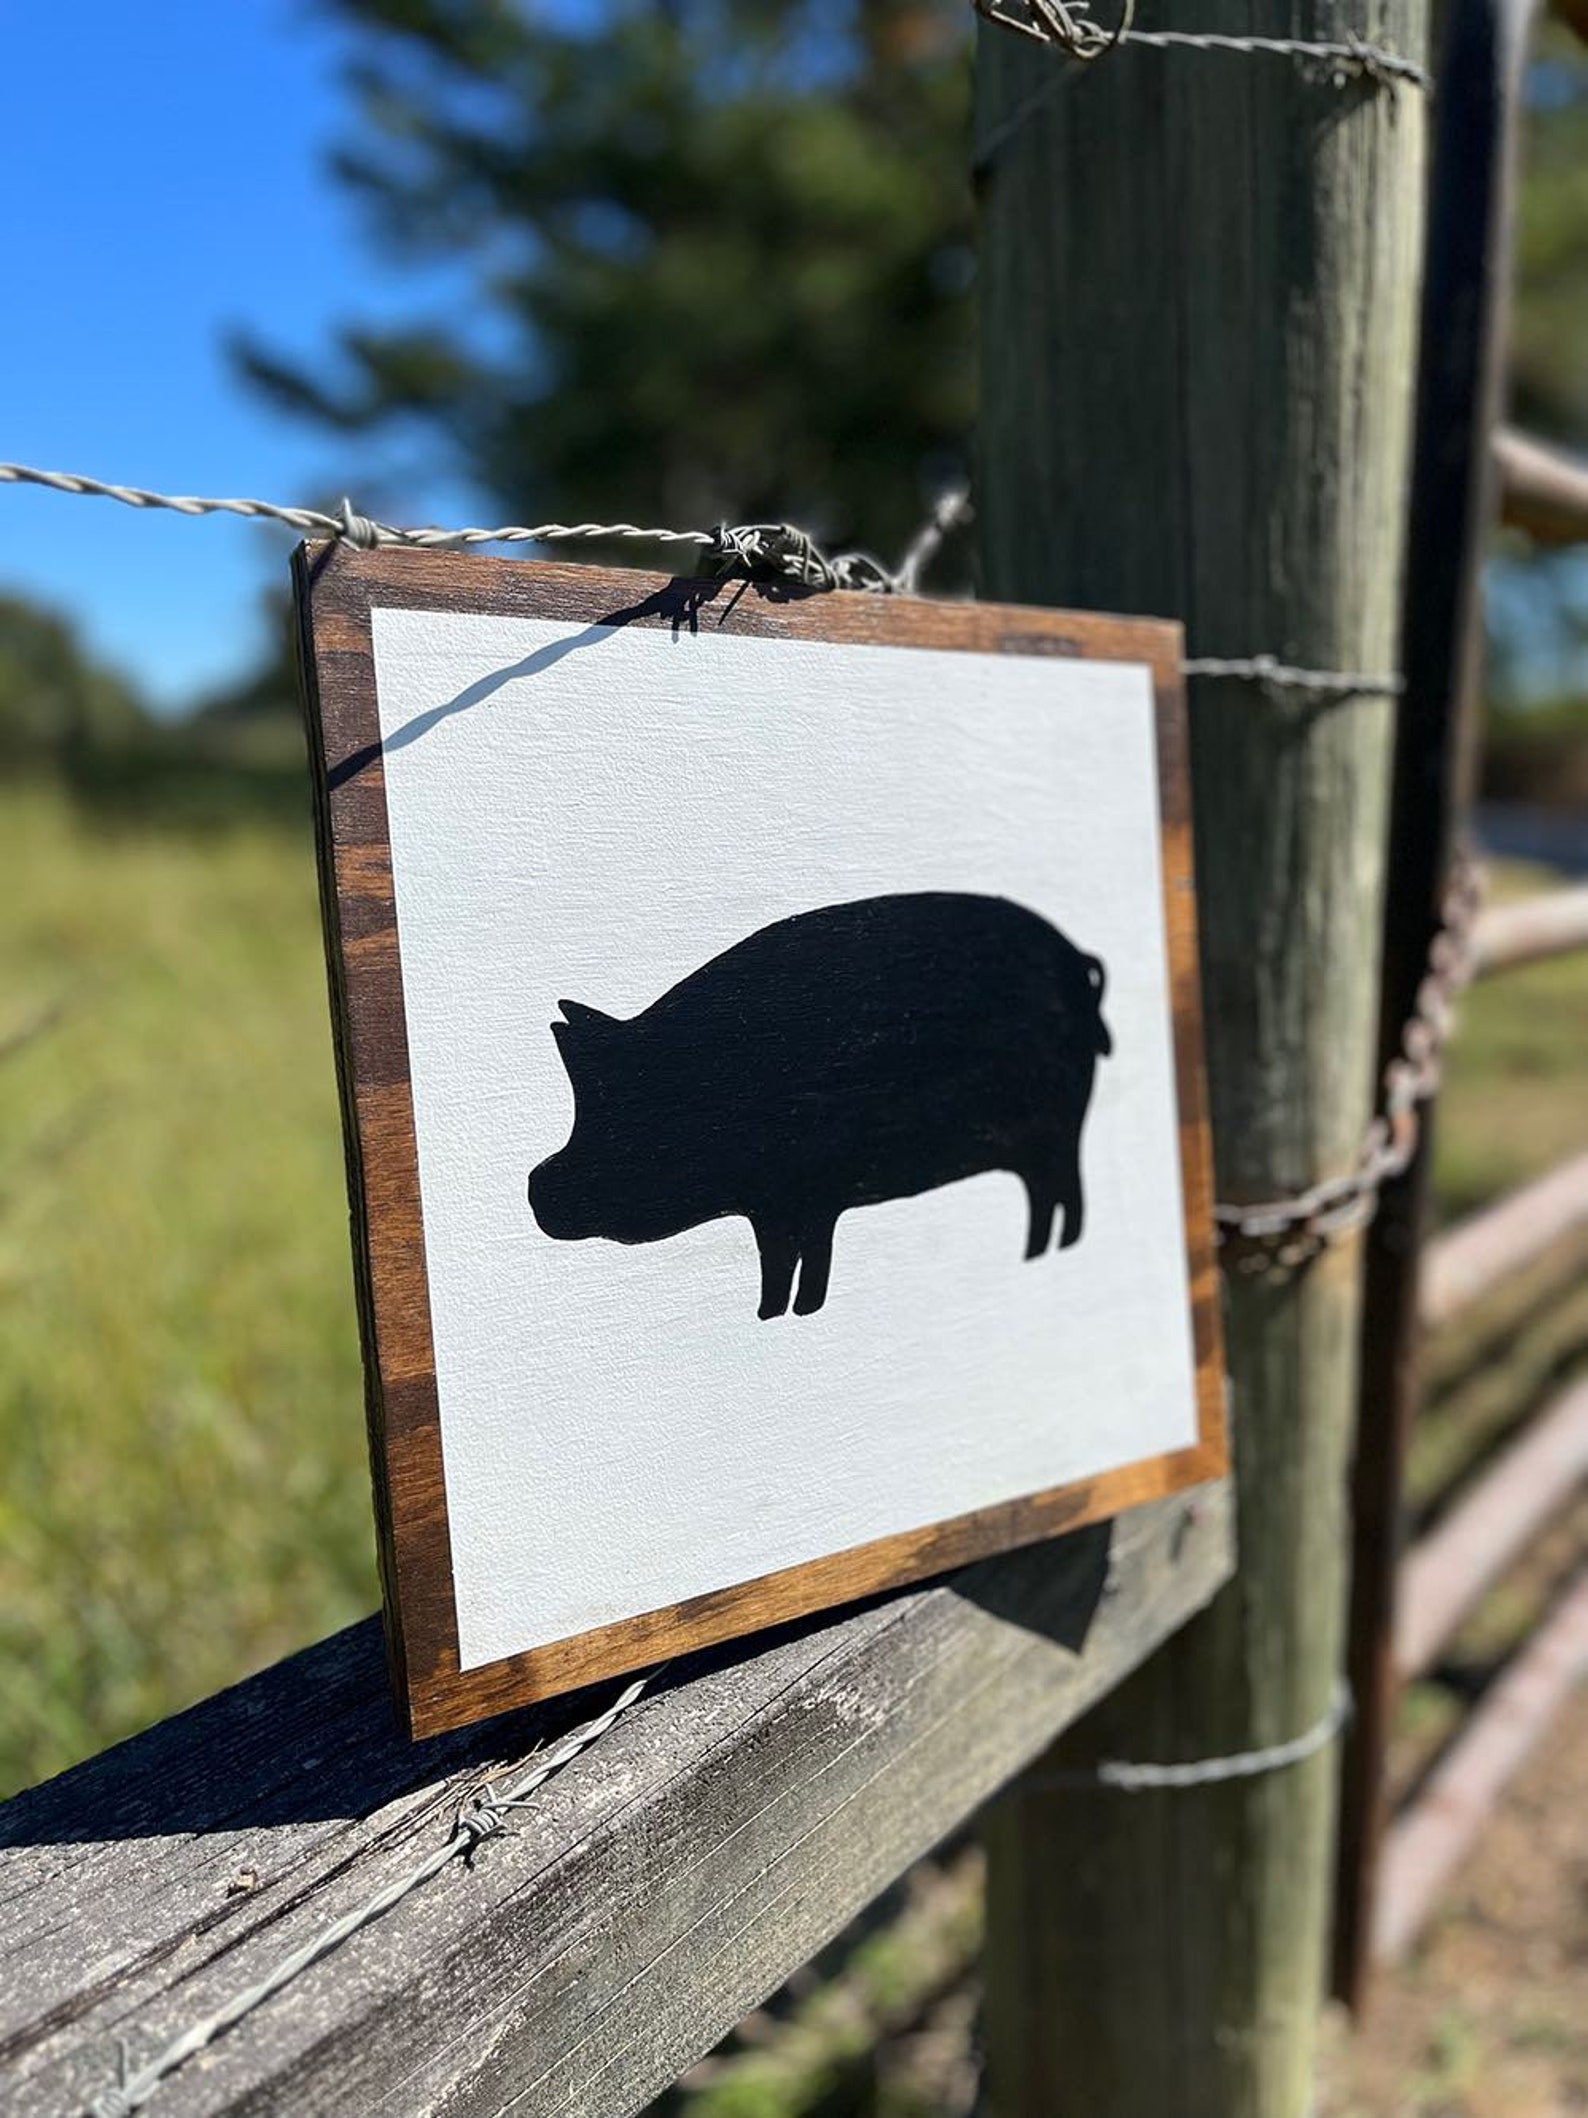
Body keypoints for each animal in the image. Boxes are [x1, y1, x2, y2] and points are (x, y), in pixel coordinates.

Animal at [527, 891, 1111, 1319]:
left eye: (628, 1119)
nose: (537, 1184)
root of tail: (1076, 960)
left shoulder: (812, 1192)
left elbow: (803, 1258)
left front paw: (789, 1313)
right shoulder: (775, 1205)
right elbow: (779, 1259)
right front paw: (773, 1313)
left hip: (1061, 1126)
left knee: (1065, 1192)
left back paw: (1047, 1248)